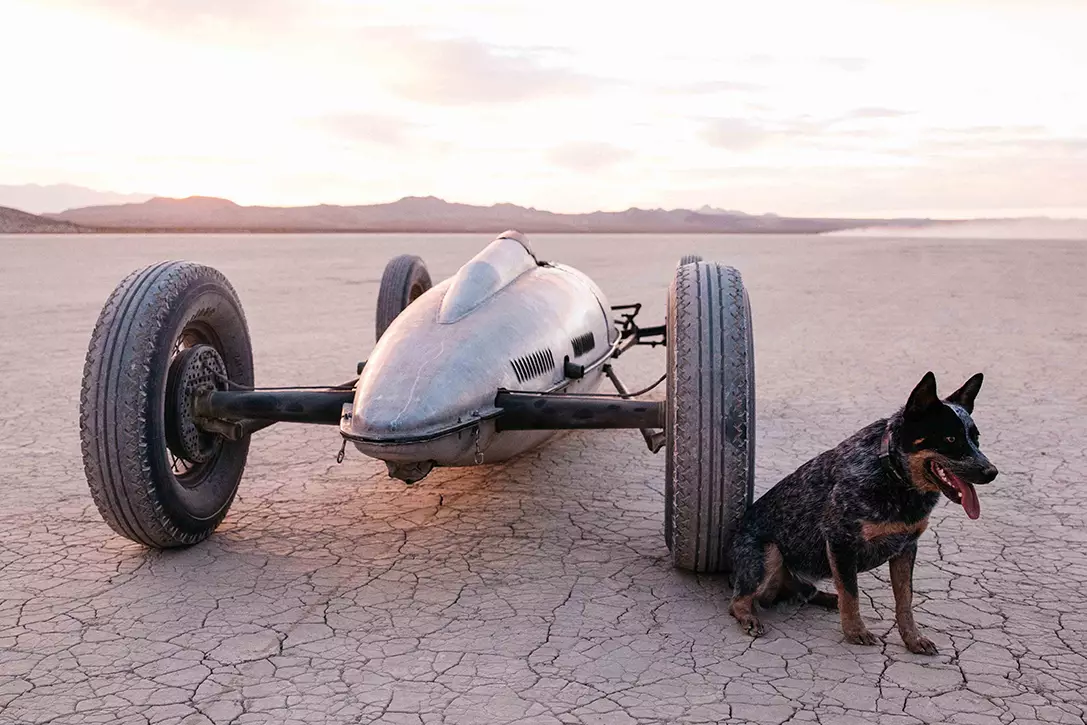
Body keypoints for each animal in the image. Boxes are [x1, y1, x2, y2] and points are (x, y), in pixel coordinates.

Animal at [730, 371, 995, 656]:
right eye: (950, 439)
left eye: (976, 438)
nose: (992, 472)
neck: (894, 477)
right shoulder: (841, 541)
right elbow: (851, 592)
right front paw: (855, 631)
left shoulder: (906, 548)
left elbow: (905, 600)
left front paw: (912, 638)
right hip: (769, 554)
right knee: (739, 601)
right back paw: (750, 617)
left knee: (805, 592)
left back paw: (826, 597)